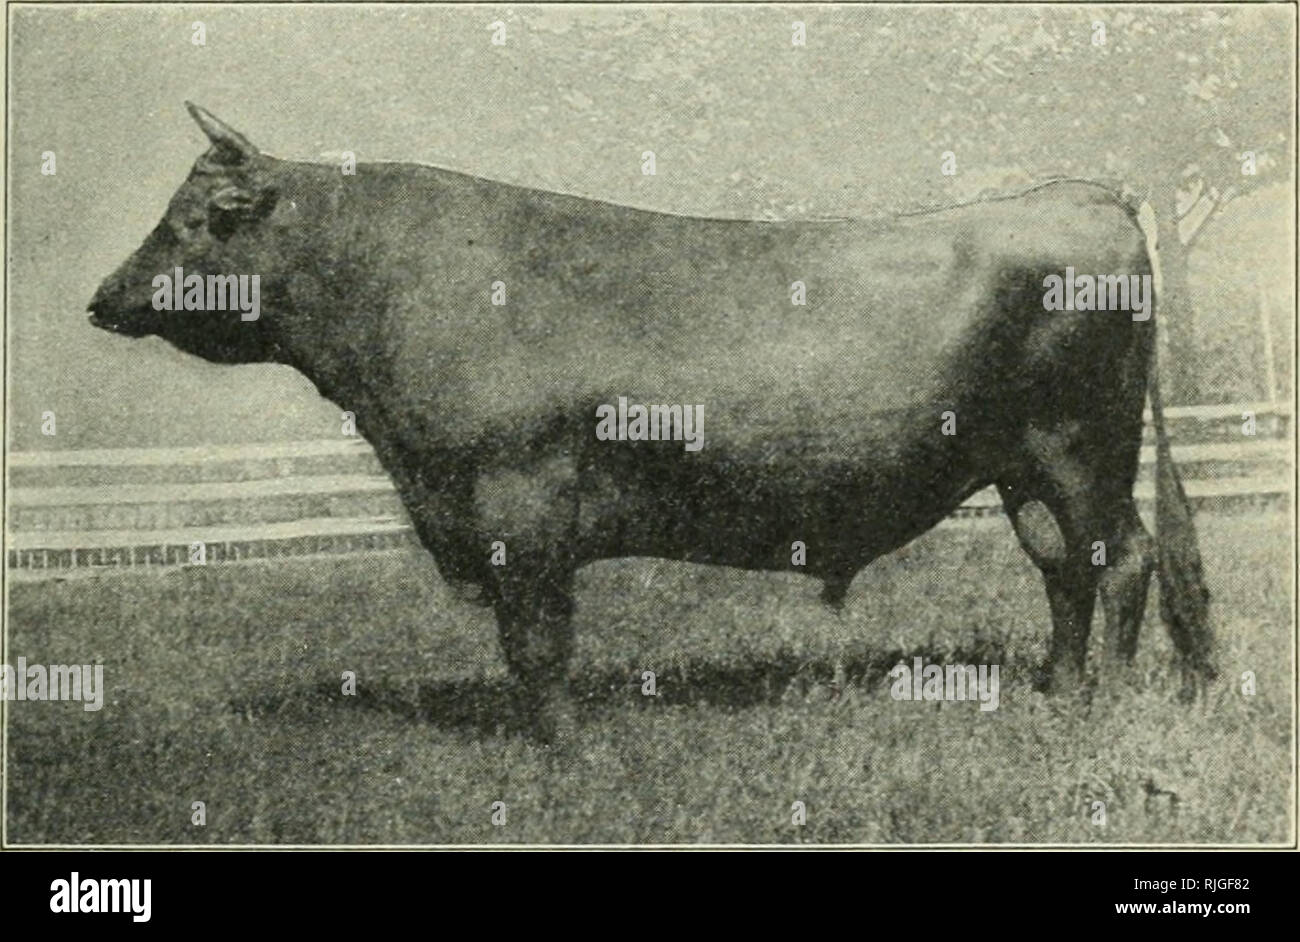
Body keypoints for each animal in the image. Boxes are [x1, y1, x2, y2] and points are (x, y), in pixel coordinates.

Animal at [88, 104, 1214, 742]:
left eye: (201, 221)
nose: (103, 297)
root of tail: (1080, 193)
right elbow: (524, 639)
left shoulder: (521, 500)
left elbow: (536, 640)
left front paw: (557, 749)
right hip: (1021, 464)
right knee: (1061, 567)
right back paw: (1056, 690)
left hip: (1080, 449)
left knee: (1120, 561)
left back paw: (1106, 700)